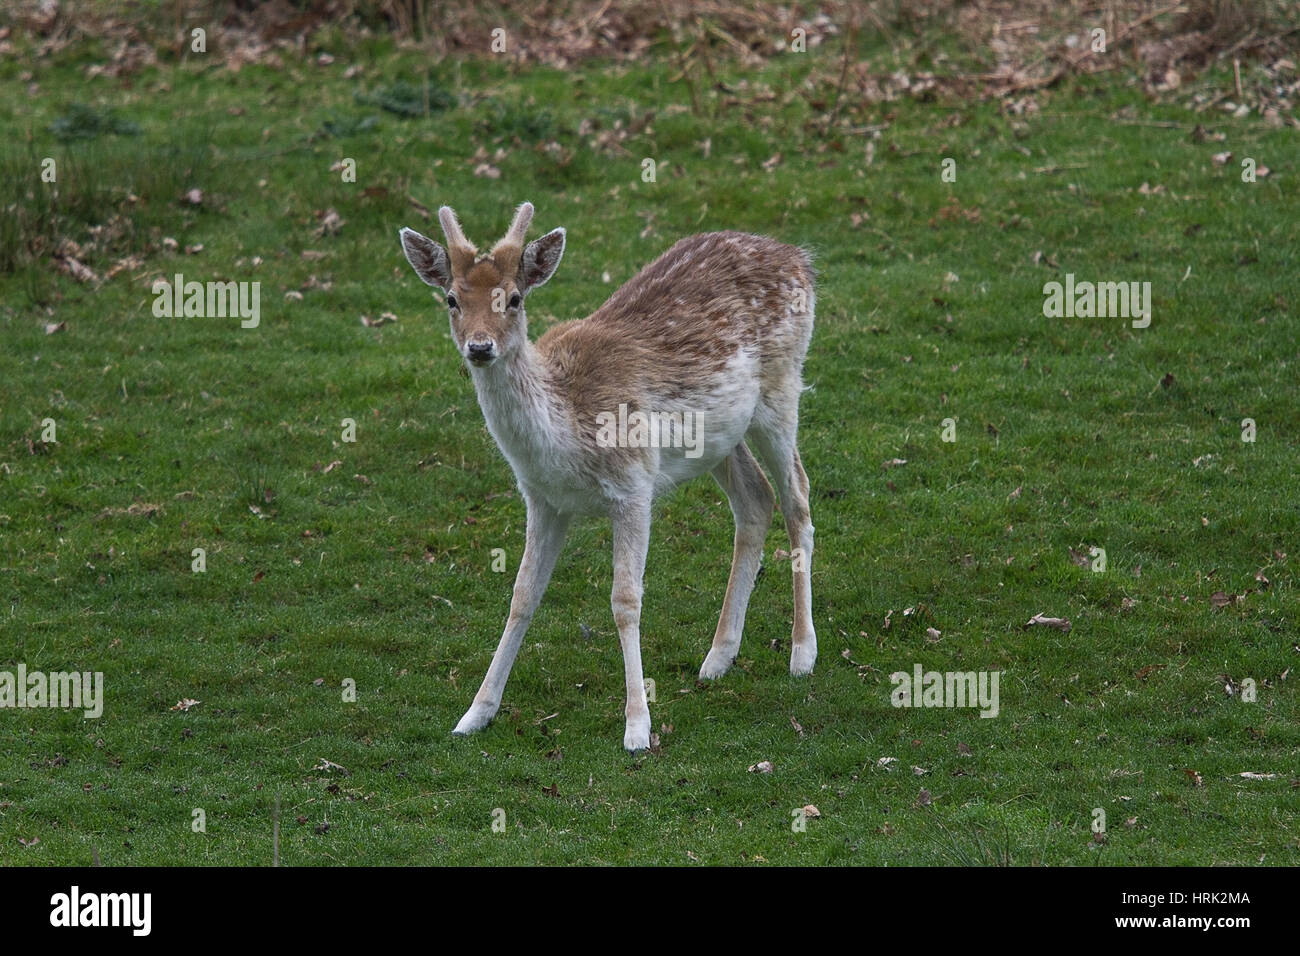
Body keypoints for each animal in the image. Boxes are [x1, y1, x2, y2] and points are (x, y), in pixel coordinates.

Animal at [398, 201, 816, 752]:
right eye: (451, 299)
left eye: (514, 298)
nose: (480, 347)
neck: (567, 438)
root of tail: (799, 257)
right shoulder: (542, 499)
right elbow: (521, 596)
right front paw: (474, 714)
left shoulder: (634, 484)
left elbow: (625, 599)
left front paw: (638, 727)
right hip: (720, 437)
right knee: (756, 499)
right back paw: (718, 657)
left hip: (781, 389)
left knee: (798, 499)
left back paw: (802, 653)